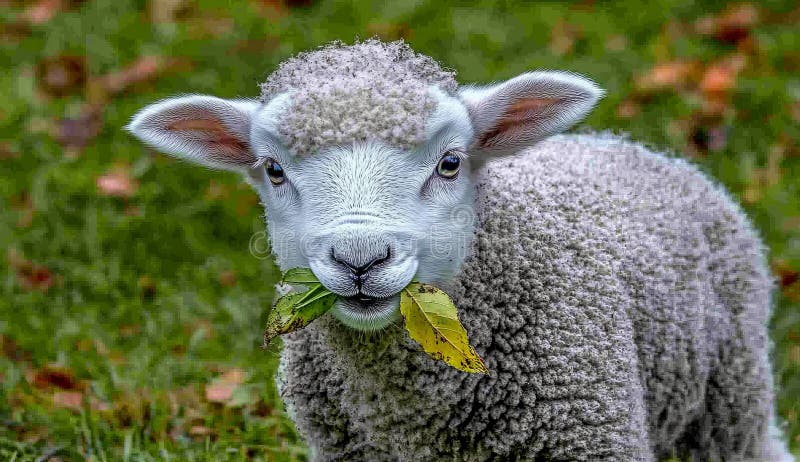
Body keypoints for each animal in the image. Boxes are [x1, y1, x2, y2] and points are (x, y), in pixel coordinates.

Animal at [126, 39, 793, 461]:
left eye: (449, 163)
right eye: (272, 170)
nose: (361, 259)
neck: (407, 414)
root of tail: (627, 145)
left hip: (730, 390)